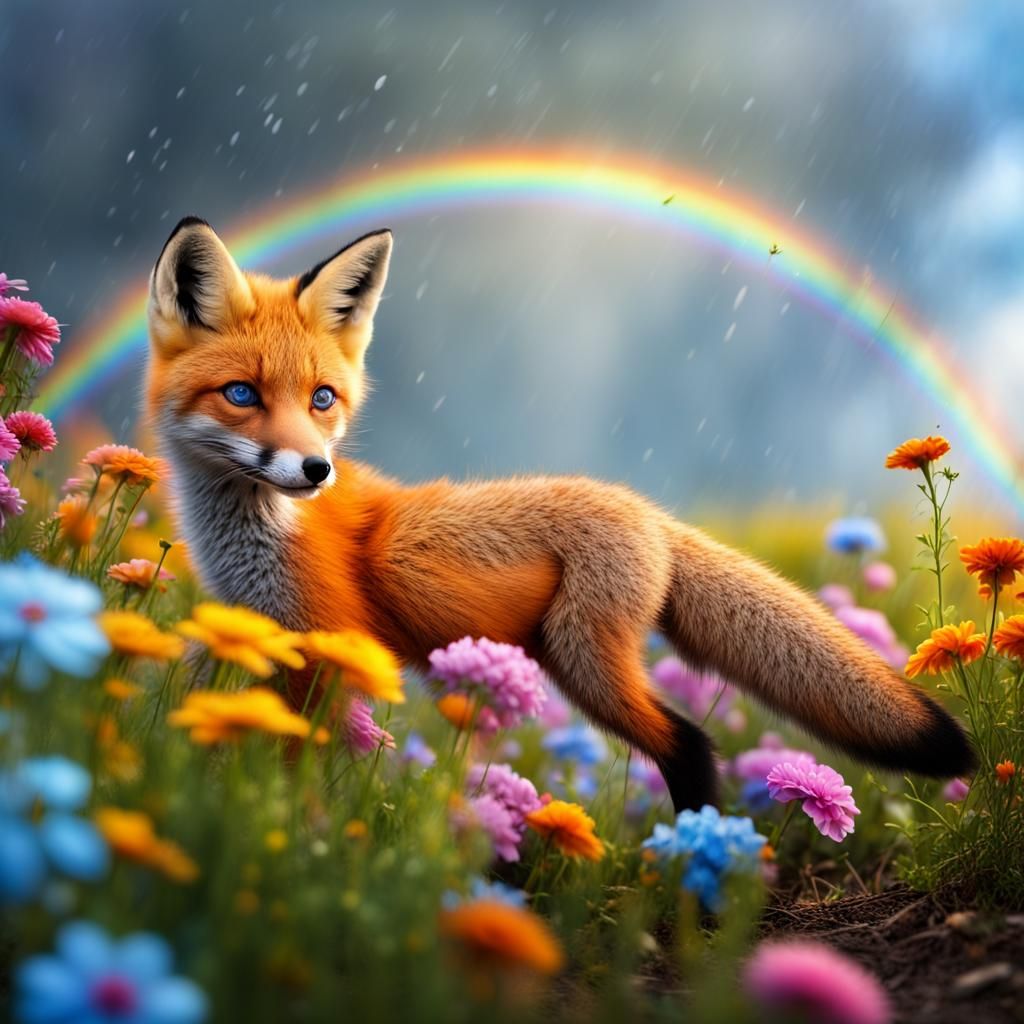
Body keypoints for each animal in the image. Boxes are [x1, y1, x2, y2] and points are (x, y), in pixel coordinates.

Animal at [145, 216, 975, 812]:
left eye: (322, 399)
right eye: (242, 394)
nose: (315, 470)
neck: (253, 540)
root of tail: (649, 511)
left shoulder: (329, 648)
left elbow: (292, 766)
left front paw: (284, 831)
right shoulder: (254, 634)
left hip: (585, 659)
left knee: (689, 743)